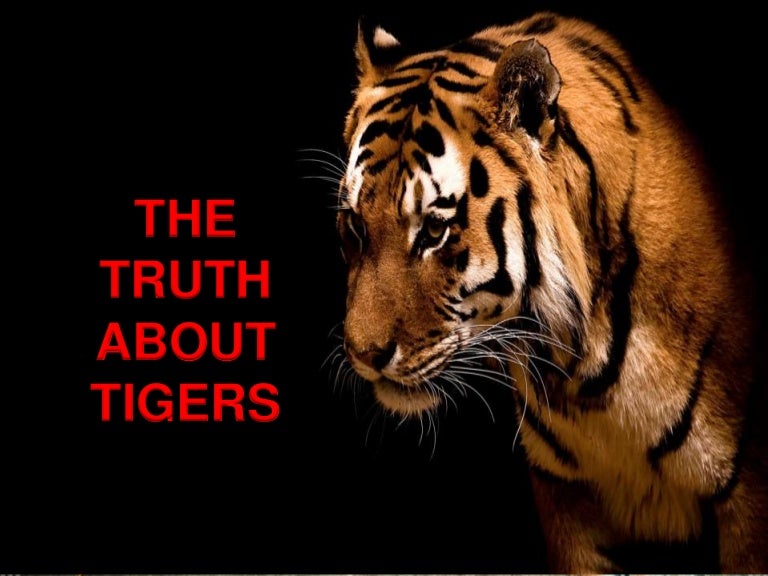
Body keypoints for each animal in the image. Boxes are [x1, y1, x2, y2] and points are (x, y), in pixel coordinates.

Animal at [331, 10, 767, 573]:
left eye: (433, 230)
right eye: (354, 226)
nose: (364, 356)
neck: (584, 376)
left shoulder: (746, 493)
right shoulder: (565, 494)